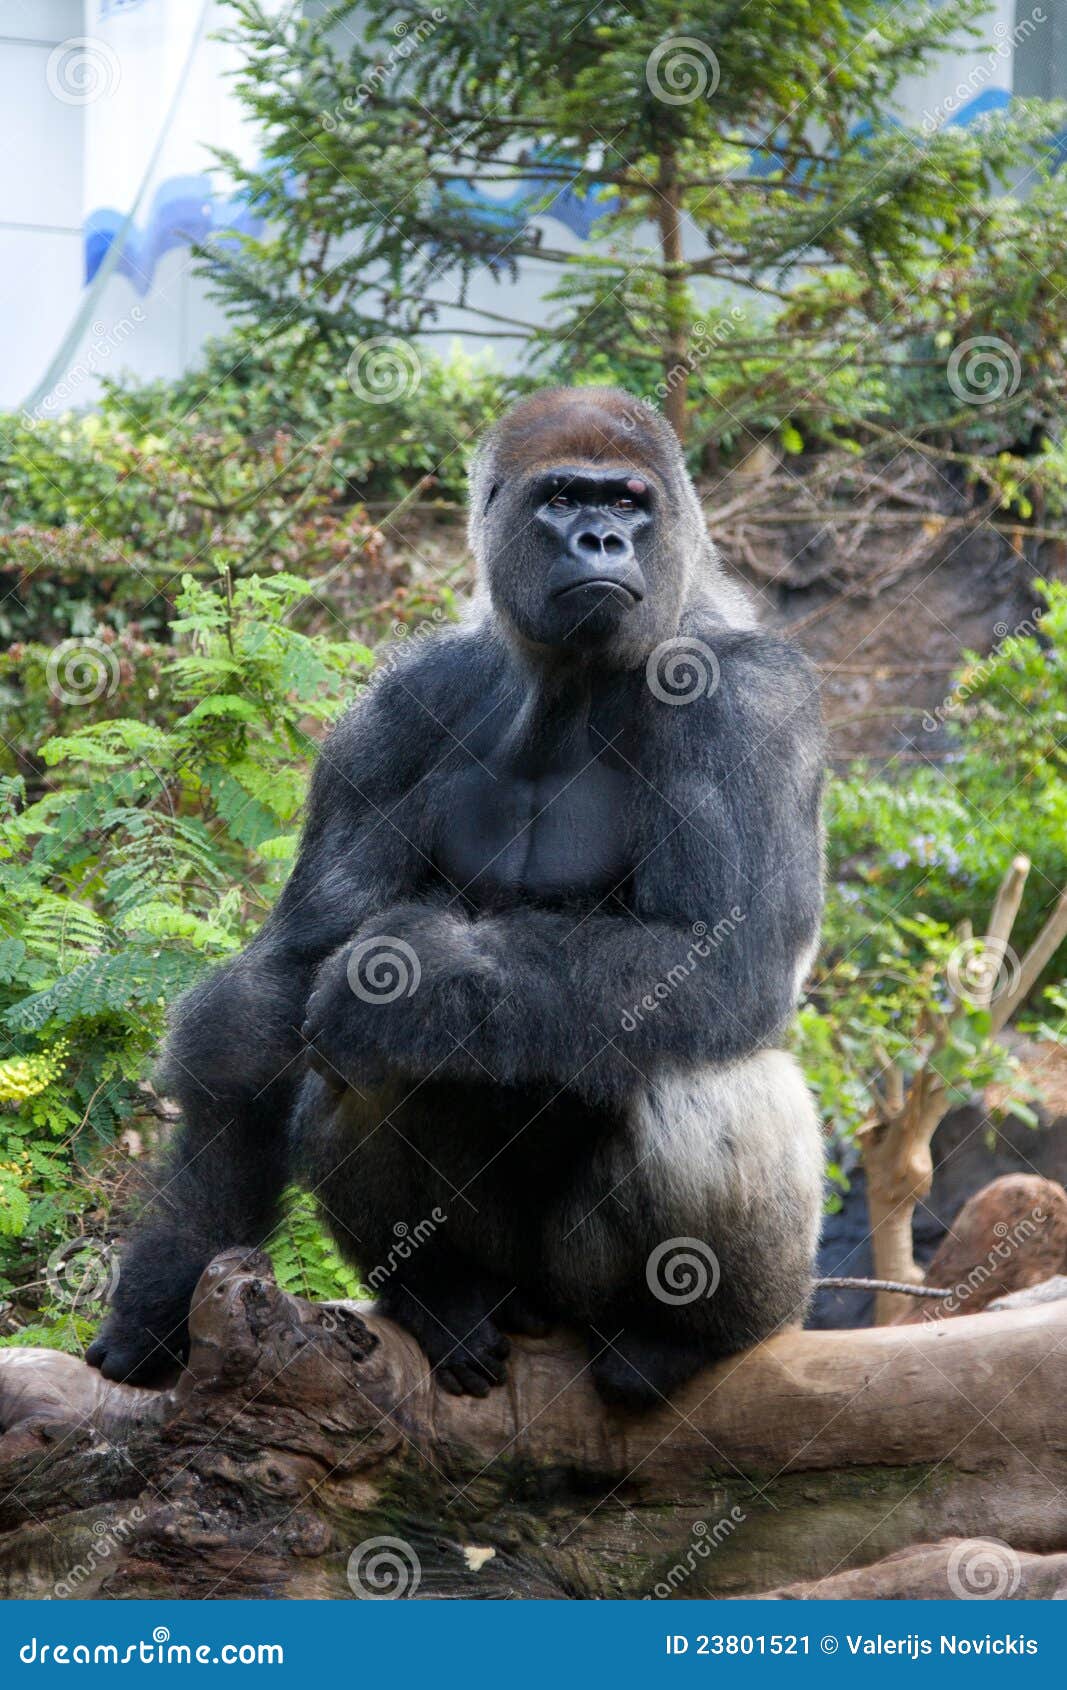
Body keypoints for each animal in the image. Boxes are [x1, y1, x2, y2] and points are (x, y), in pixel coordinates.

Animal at [88, 386, 825, 1410]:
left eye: (628, 502)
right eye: (562, 499)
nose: (602, 539)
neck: (559, 680)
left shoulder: (751, 702)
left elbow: (721, 956)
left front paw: (410, 977)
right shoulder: (396, 709)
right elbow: (279, 990)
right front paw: (165, 1284)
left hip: (705, 1294)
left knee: (693, 1072)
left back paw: (677, 1338)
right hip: (509, 1284)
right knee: (353, 1069)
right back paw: (446, 1298)